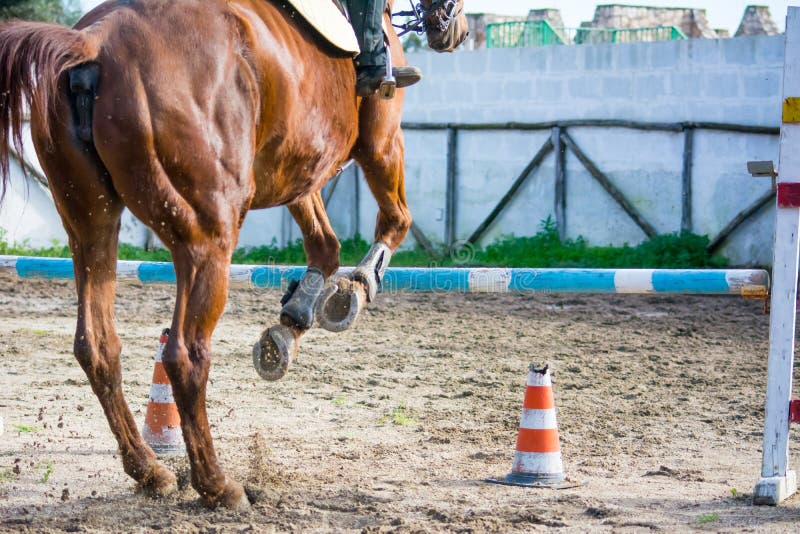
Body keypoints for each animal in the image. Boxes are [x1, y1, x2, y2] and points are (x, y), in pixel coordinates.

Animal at [0, 0, 466, 510]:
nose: (458, 30)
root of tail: (94, 43)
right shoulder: (380, 141)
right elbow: (395, 221)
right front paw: (355, 291)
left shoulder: (294, 165)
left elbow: (324, 246)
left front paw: (291, 325)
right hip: (209, 237)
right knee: (184, 356)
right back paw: (217, 485)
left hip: (91, 225)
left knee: (98, 346)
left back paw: (150, 470)